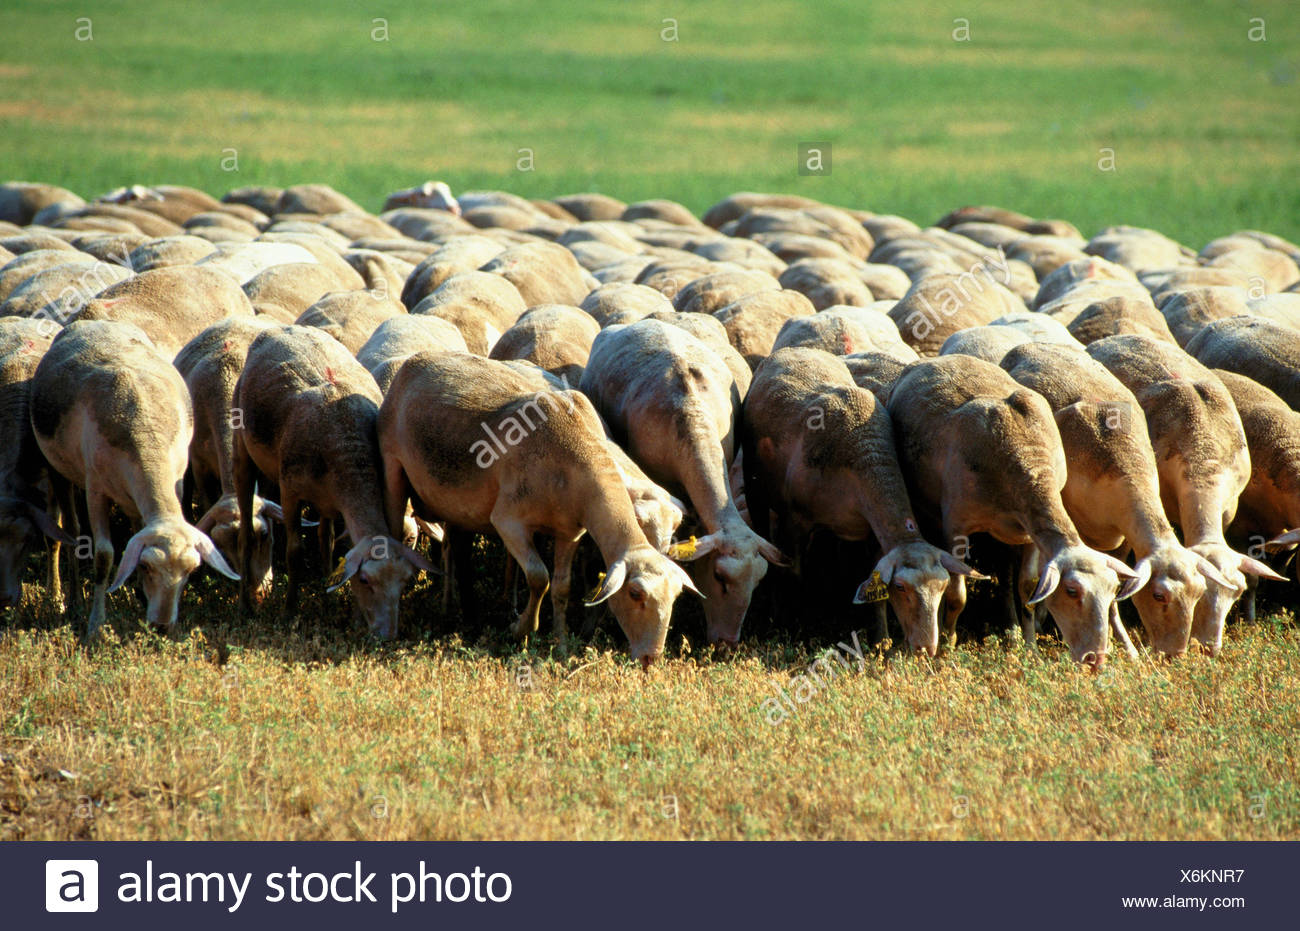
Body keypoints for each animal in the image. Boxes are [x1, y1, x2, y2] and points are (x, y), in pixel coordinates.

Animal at [30, 320, 239, 633]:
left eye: (191, 570)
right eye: (147, 566)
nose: (162, 627)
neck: (144, 430)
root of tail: (94, 322)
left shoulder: (177, 480)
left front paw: (140, 597)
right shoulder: (96, 489)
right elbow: (104, 555)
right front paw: (96, 624)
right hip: (57, 467)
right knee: (70, 533)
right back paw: (68, 601)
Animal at [233, 325, 434, 636]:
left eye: (403, 583)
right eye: (365, 581)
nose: (387, 636)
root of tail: (284, 329)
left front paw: (353, 617)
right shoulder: (290, 492)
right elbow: (294, 553)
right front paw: (290, 612)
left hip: (322, 499)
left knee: (324, 536)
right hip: (242, 450)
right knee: (246, 530)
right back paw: (245, 605)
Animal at [379, 352, 697, 664]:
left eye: (675, 596)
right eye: (634, 593)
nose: (651, 658)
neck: (576, 456)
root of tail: (418, 359)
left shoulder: (571, 532)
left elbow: (561, 587)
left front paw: (561, 643)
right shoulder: (508, 522)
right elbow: (538, 577)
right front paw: (521, 628)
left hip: (457, 505)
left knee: (457, 548)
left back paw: (465, 613)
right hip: (392, 465)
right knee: (397, 530)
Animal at [742, 347, 979, 654]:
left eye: (941, 587)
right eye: (901, 587)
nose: (925, 649)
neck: (867, 461)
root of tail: (791, 350)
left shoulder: (874, 534)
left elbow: (874, 586)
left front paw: (881, 641)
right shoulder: (797, 520)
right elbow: (793, 572)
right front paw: (791, 628)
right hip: (752, 480)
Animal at [886, 354, 1136, 667]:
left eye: (1114, 589)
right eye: (1071, 591)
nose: (1097, 658)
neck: (1022, 456)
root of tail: (930, 360)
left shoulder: (1029, 533)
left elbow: (1028, 586)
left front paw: (1030, 647)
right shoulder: (955, 525)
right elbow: (957, 595)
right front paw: (946, 646)